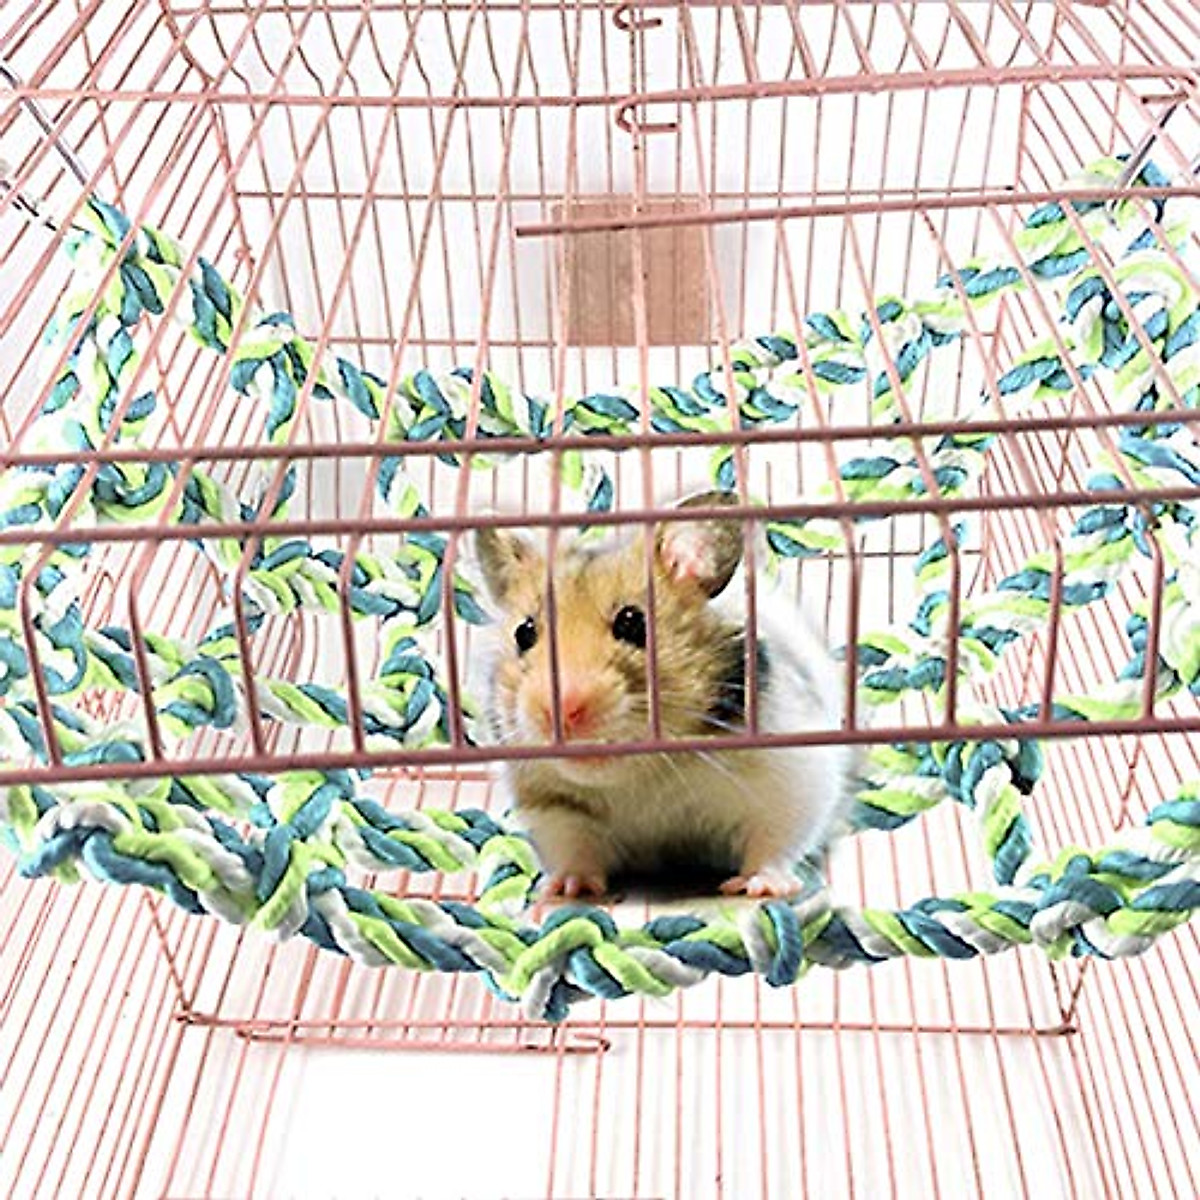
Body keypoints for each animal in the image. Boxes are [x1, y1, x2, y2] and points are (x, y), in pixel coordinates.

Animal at [473, 489, 854, 900]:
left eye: (632, 622)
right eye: (524, 633)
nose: (559, 711)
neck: (644, 774)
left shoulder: (793, 778)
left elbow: (774, 841)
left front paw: (760, 887)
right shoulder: (552, 806)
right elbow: (574, 849)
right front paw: (565, 889)